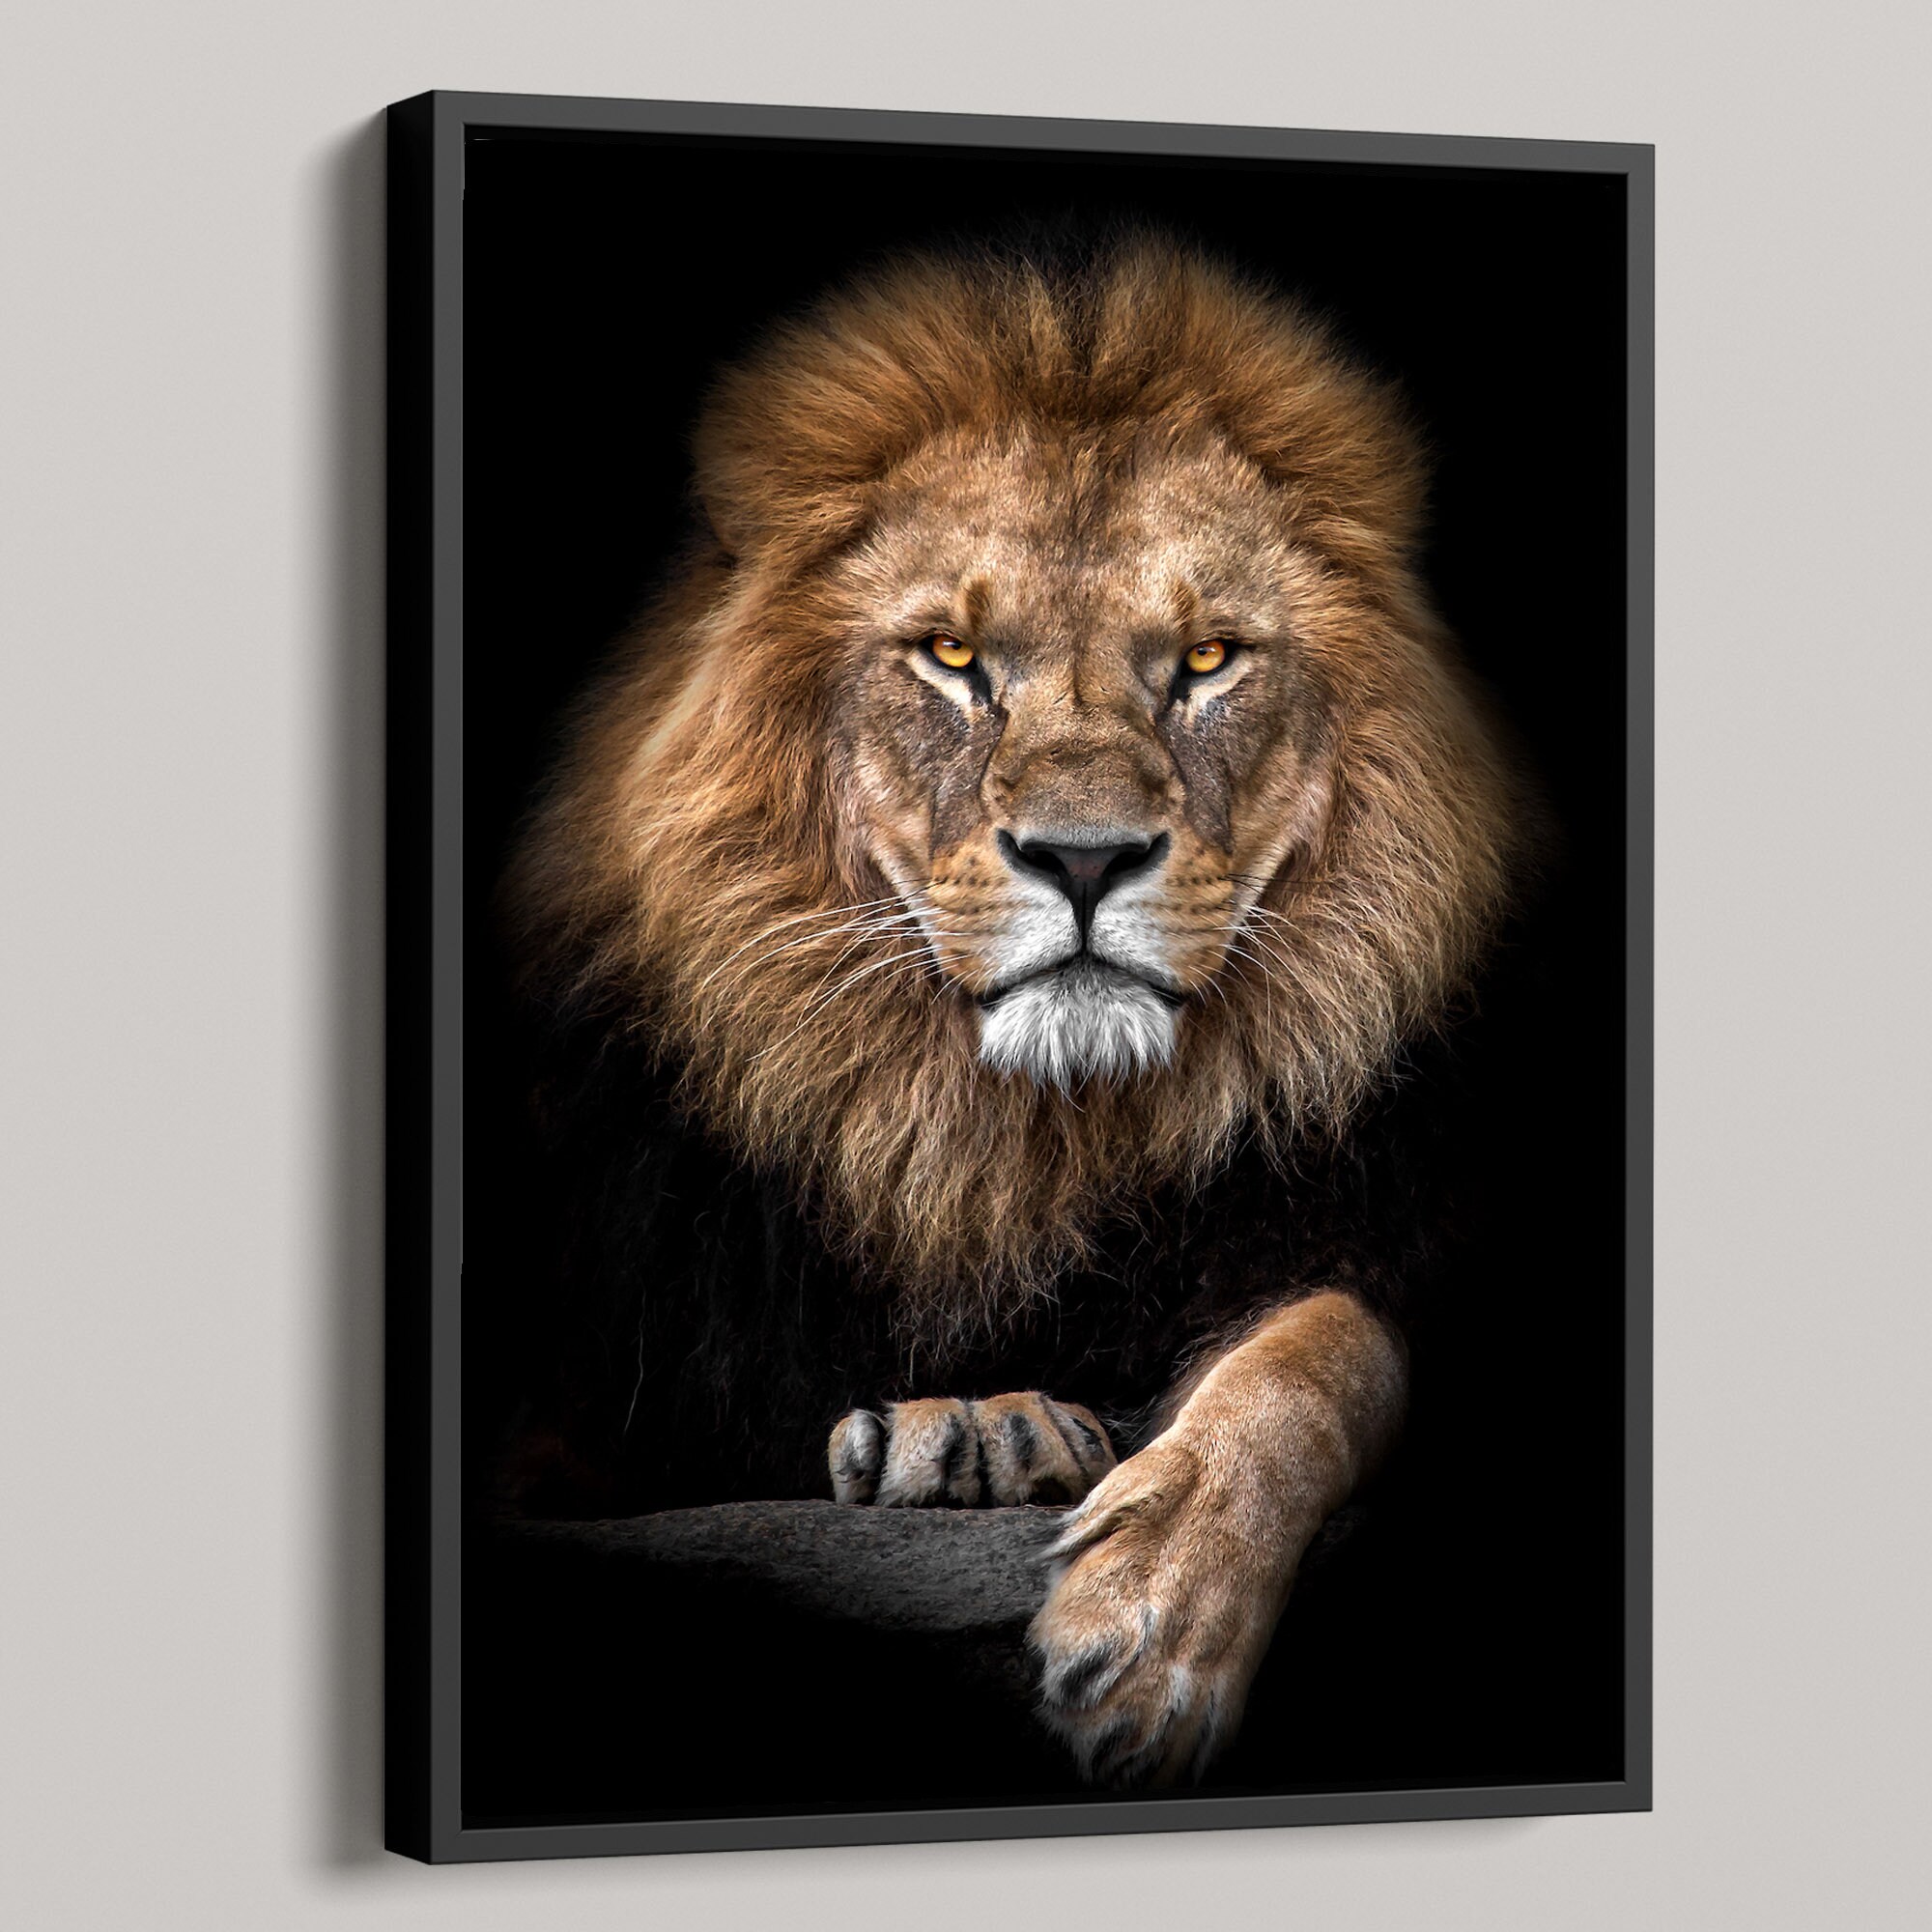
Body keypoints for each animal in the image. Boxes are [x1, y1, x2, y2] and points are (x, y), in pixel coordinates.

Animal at [503, 233, 1526, 1789]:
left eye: (1208, 661)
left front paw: (1154, 1619)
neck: (1012, 1145)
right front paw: (974, 1434)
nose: (1085, 858)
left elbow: (1319, 1353)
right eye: (949, 656)